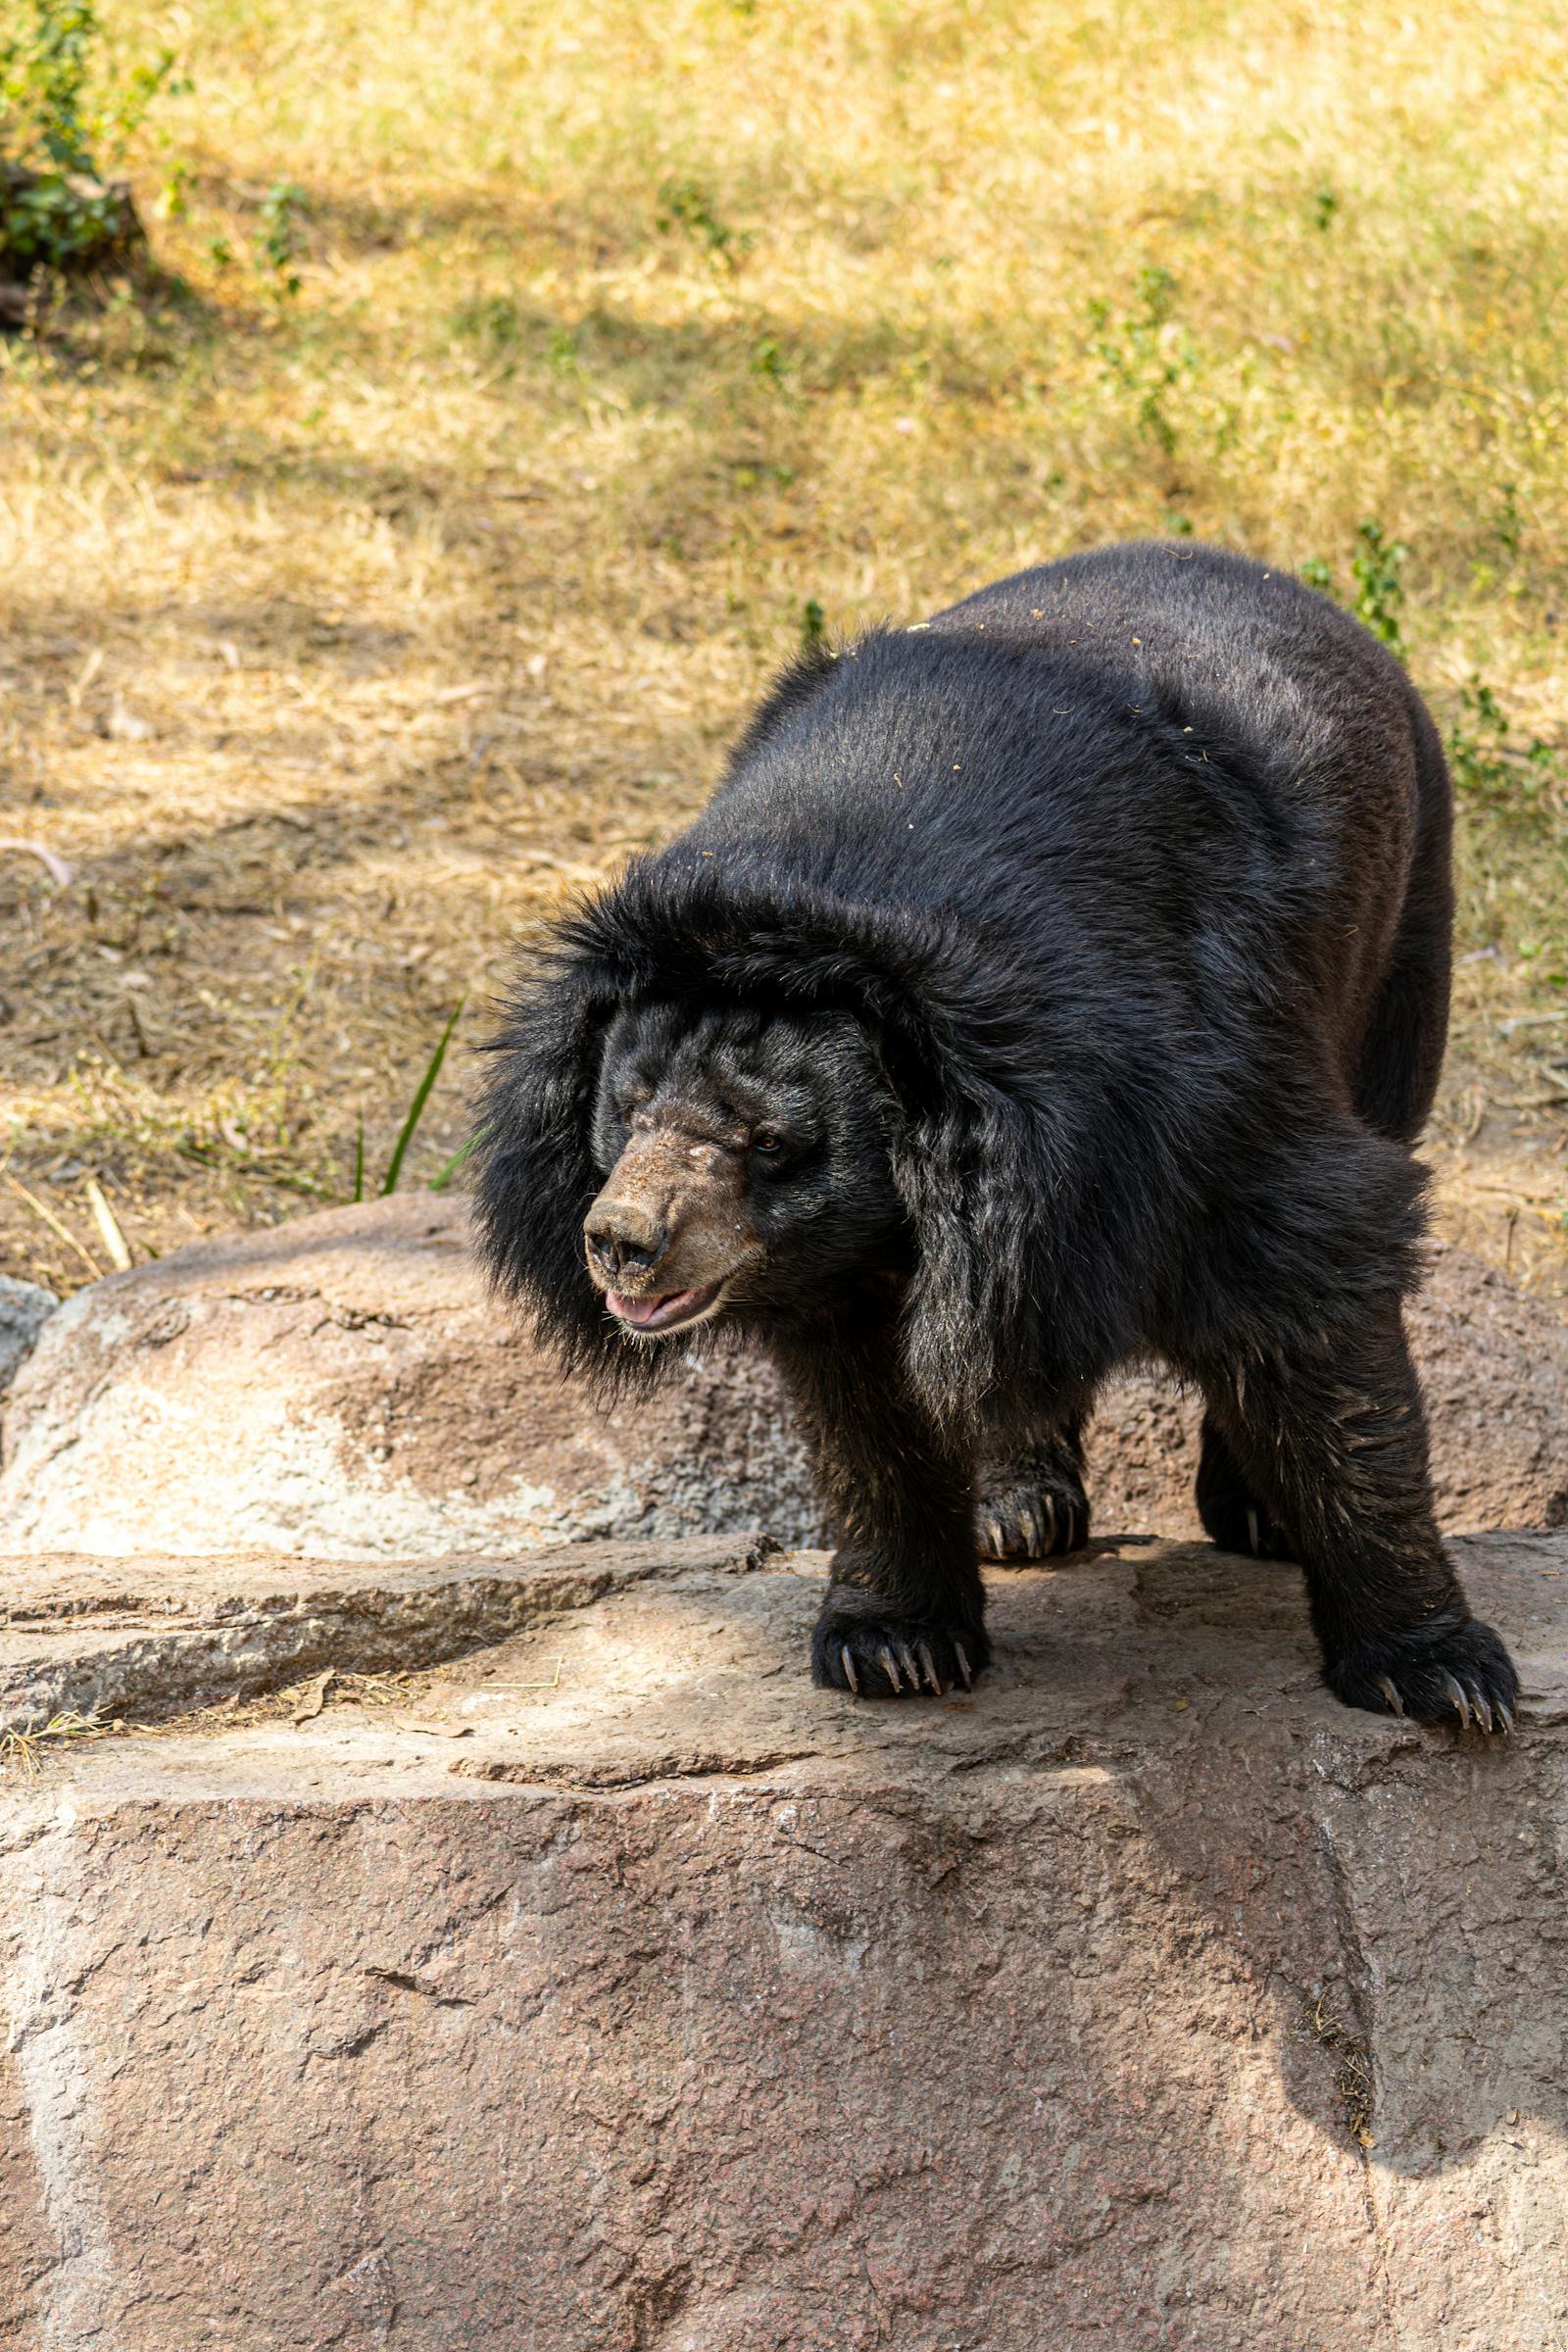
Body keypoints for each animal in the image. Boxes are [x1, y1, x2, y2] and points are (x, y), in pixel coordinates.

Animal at [474, 540, 1519, 1732]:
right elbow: (866, 1414)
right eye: (630, 1104)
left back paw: (1248, 1515)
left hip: (1401, 948)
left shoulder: (1207, 1079)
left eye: (770, 1141)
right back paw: (1018, 1506)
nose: (621, 1243)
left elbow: (1314, 1295)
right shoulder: (838, 1255)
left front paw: (1442, 1675)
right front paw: (893, 1645)